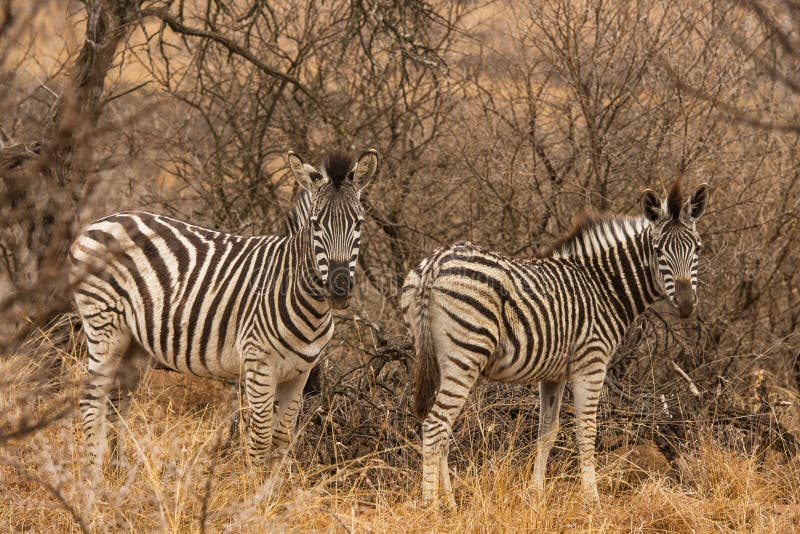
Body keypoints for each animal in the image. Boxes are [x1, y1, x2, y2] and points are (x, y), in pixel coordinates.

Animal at [69, 149, 378, 470]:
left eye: (358, 224)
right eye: (316, 224)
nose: (339, 288)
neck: (303, 298)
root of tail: (99, 222)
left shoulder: (300, 373)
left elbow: (281, 440)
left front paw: (276, 485)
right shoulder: (258, 365)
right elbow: (260, 440)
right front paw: (255, 485)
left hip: (135, 342)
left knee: (117, 403)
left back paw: (116, 472)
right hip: (104, 325)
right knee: (92, 401)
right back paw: (95, 474)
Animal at [401, 180, 709, 507]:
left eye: (698, 248)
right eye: (658, 250)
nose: (686, 304)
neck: (601, 287)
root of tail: (435, 263)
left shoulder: (553, 374)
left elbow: (547, 432)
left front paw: (535, 494)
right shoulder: (591, 362)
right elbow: (586, 431)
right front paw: (592, 500)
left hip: (435, 357)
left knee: (443, 430)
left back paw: (450, 503)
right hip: (465, 356)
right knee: (435, 426)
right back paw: (432, 506)